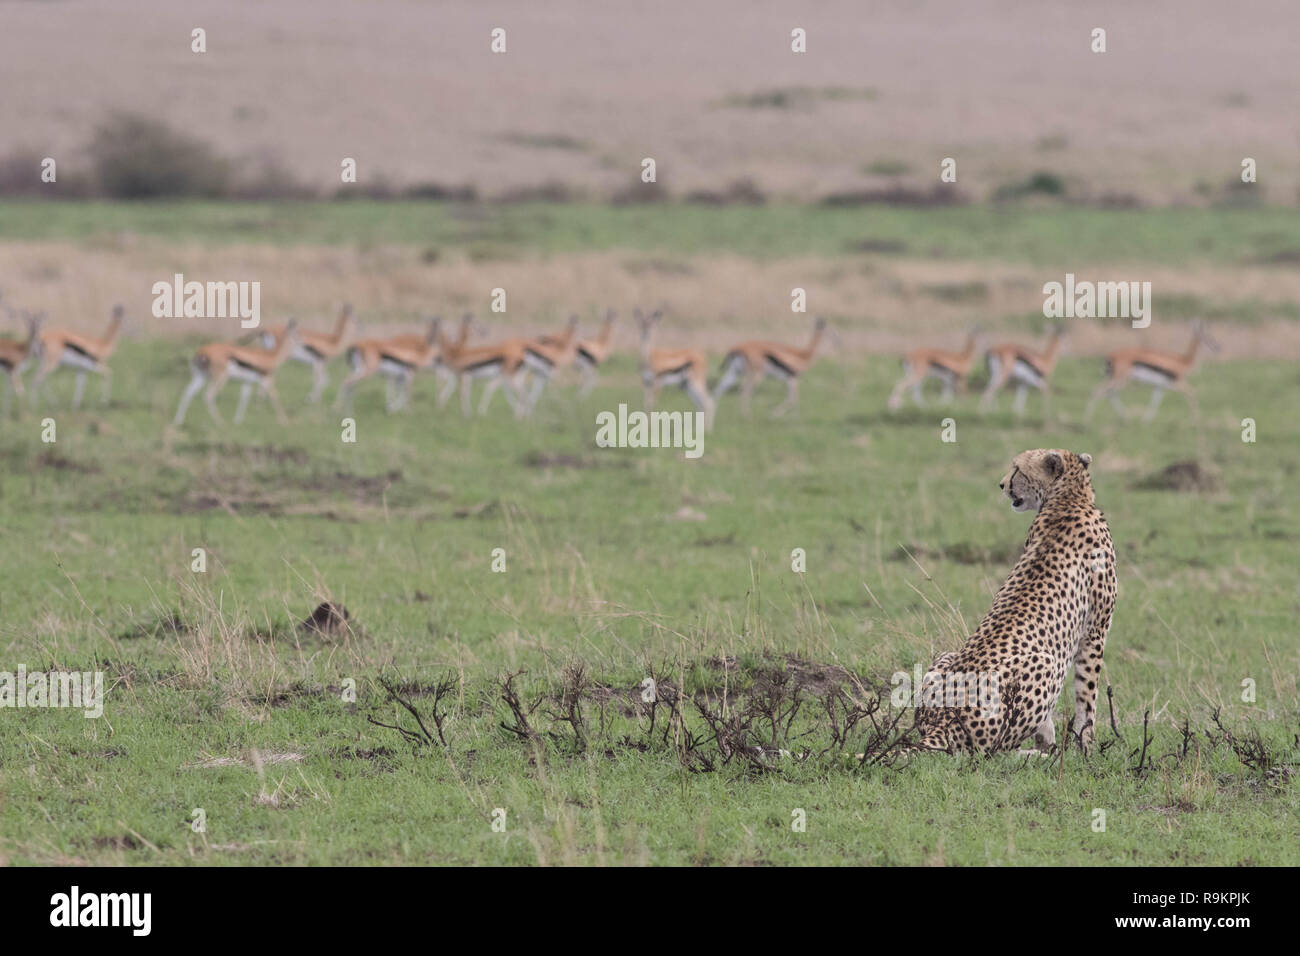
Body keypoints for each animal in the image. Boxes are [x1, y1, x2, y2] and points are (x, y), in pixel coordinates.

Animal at [1085, 322, 1219, 421]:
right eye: (1209, 338)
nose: (1219, 347)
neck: (1184, 361)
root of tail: (1110, 356)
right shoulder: (1178, 383)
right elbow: (1192, 393)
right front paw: (1195, 419)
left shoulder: (1161, 386)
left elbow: (1155, 401)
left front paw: (1147, 420)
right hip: (1121, 380)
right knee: (1098, 391)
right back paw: (1087, 420)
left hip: (1115, 379)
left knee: (1109, 393)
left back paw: (1126, 417)